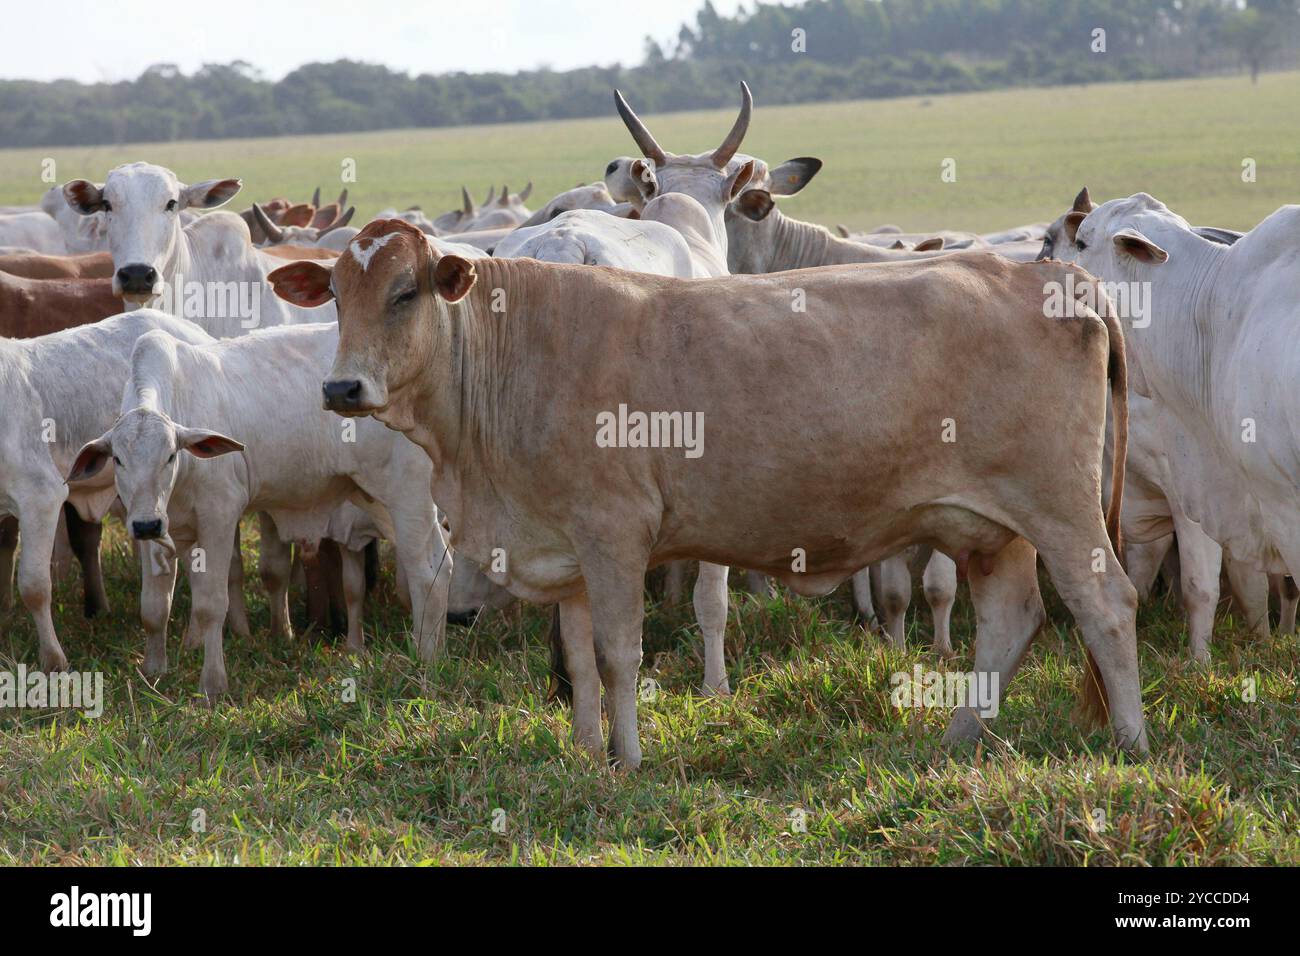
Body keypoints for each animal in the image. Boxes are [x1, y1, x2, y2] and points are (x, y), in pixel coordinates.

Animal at [66, 321, 452, 698]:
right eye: (118, 459)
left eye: (171, 455)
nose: (147, 525)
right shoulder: (158, 529)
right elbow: (153, 607)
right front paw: (154, 672)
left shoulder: (220, 515)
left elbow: (211, 605)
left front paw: (213, 684)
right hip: (380, 501)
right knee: (441, 562)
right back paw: (435, 650)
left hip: (408, 496)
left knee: (425, 570)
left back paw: (425, 658)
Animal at [273, 217, 1148, 770]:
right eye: (337, 296)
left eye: (405, 292)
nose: (342, 387)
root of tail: (1052, 275)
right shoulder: (566, 547)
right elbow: (580, 662)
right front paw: (584, 753)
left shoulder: (615, 533)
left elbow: (618, 655)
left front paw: (627, 758)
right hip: (988, 526)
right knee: (1012, 617)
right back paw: (961, 733)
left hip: (1059, 510)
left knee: (1105, 605)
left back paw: (1129, 743)